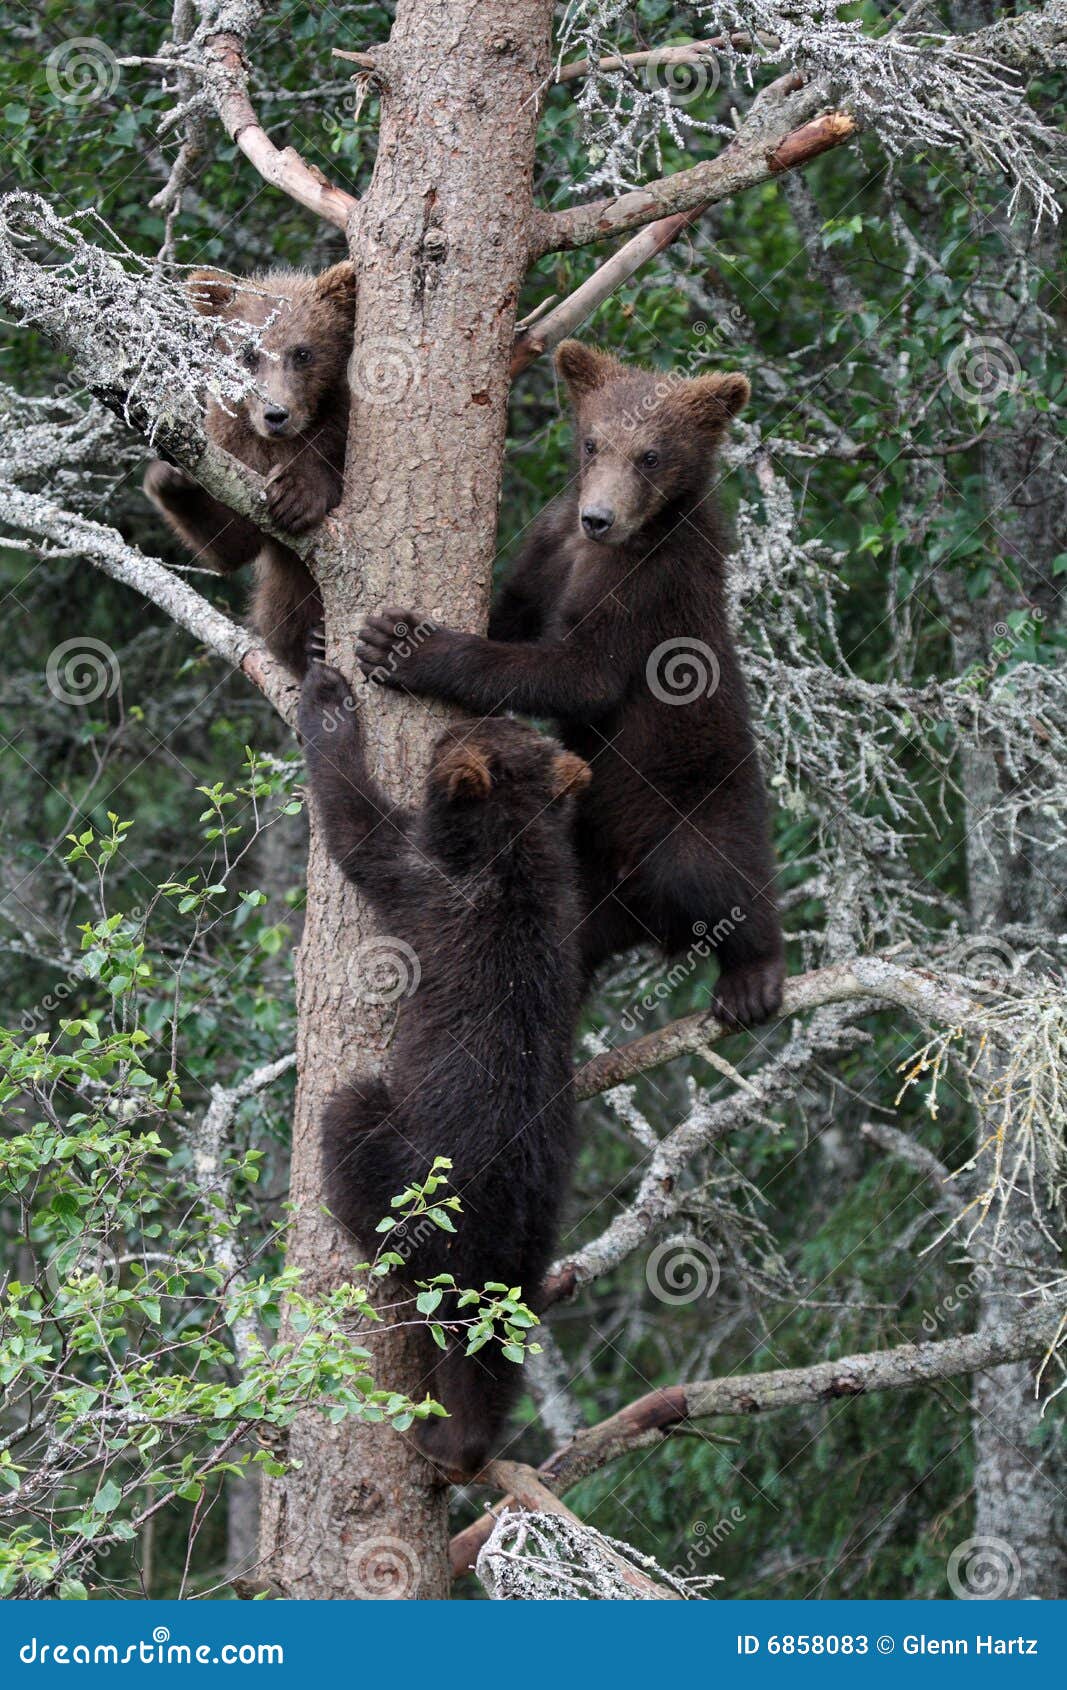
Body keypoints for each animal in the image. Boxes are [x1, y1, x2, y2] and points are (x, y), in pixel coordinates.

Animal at [144, 262, 355, 676]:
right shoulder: (235, 448)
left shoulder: (338, 424)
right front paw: (172, 477)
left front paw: (296, 493)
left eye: (302, 353)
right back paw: (311, 646)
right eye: (248, 354)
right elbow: (233, 542)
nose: (276, 414)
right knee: (280, 620)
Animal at [298, 656, 590, 1476]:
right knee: (495, 1347)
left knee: (350, 1123)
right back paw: (464, 1440)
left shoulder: (428, 882)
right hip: (534, 1235)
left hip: (411, 1176)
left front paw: (327, 702)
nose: (467, 710)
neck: (511, 840)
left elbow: (360, 829)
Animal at [354, 340, 785, 1030]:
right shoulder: (550, 544)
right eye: (591, 442)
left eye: (651, 454)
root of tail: (639, 915)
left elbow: (582, 674)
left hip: (700, 804)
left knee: (720, 877)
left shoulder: (652, 586)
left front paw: (400, 643)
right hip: (579, 858)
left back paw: (753, 980)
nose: (599, 518)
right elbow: (515, 612)